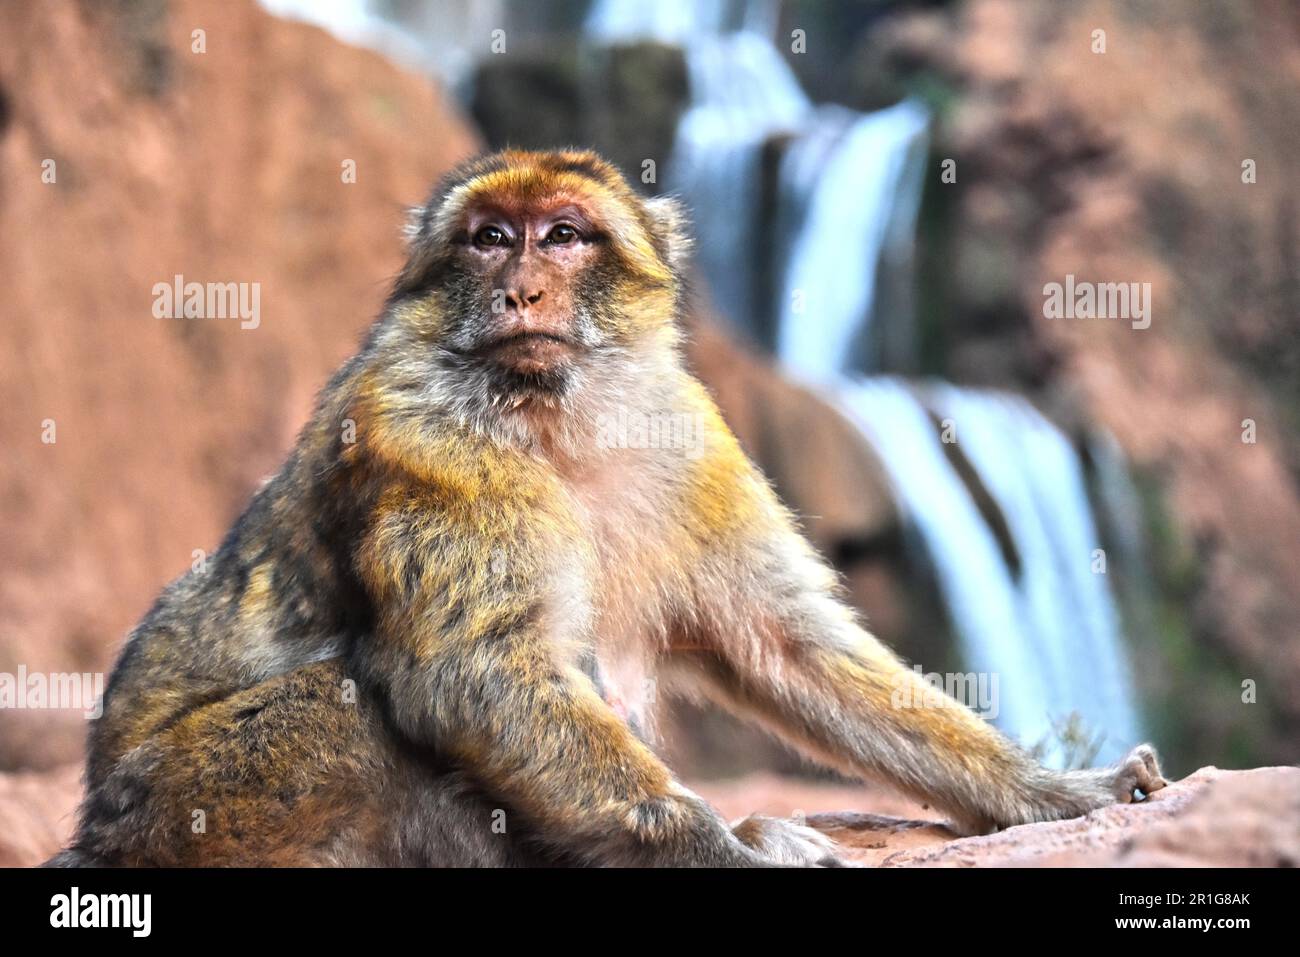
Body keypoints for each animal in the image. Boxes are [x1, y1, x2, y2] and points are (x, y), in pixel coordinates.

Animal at [48, 148, 1165, 868]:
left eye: (565, 237)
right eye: (490, 239)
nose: (521, 290)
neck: (558, 417)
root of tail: (95, 830)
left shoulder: (695, 439)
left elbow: (790, 650)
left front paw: (1057, 792)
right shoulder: (423, 450)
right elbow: (475, 675)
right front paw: (724, 854)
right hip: (187, 809)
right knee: (353, 700)